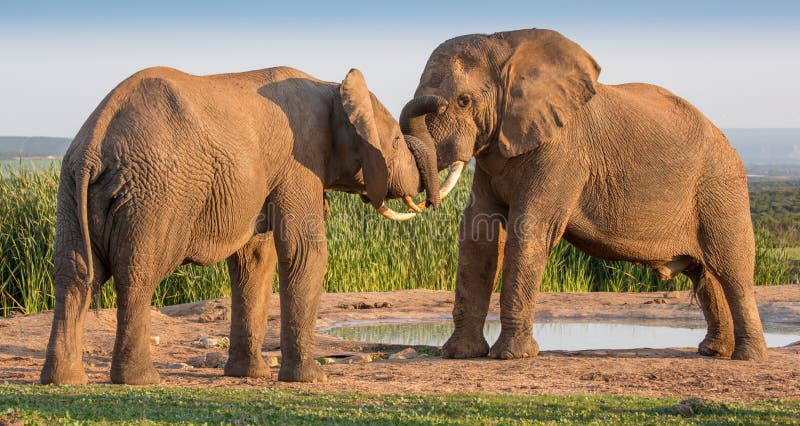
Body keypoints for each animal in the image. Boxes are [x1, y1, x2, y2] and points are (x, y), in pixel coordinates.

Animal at [41, 66, 441, 385]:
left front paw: (250, 375)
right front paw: (311, 378)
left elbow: (255, 257)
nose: (438, 102)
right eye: (397, 142)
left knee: (75, 276)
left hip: (70, 189)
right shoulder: (300, 159)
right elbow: (303, 250)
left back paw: (64, 381)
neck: (332, 87)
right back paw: (140, 381)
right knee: (138, 276)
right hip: (153, 194)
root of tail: (94, 144)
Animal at [399, 28, 768, 361]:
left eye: (464, 101)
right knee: (705, 275)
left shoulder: (564, 149)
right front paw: (459, 354)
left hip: (720, 186)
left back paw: (748, 357)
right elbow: (480, 234)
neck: (506, 45)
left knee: (732, 269)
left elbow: (530, 229)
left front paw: (512, 356)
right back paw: (714, 352)